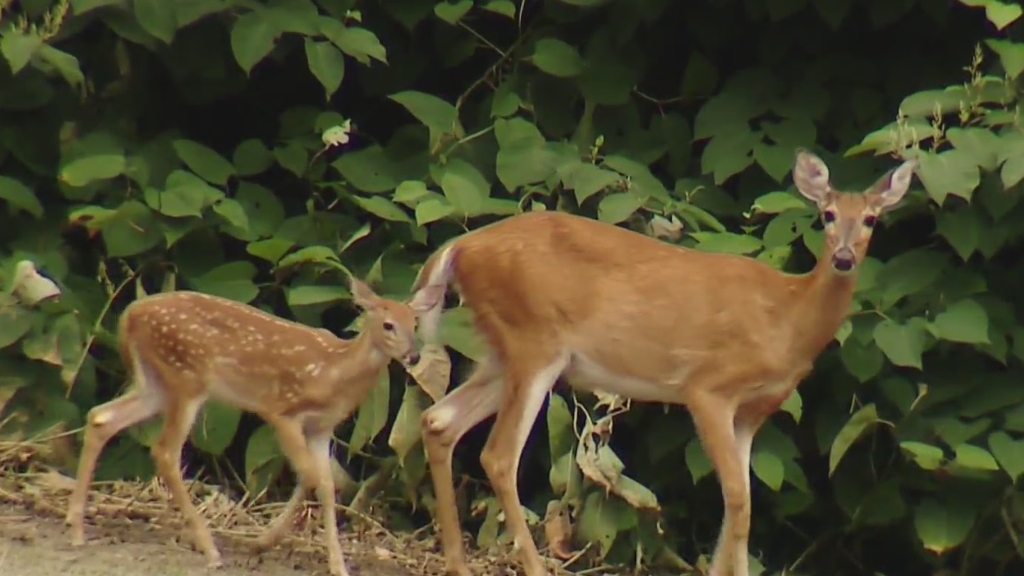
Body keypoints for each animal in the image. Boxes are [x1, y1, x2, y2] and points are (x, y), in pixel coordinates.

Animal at [64, 275, 447, 576]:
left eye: (415, 323)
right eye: (388, 325)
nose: (413, 356)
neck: (334, 373)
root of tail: (129, 314)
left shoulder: (322, 428)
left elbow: (326, 484)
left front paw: (336, 565)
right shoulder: (280, 411)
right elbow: (310, 476)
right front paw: (263, 542)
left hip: (155, 384)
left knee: (101, 417)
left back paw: (77, 527)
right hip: (187, 377)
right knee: (165, 451)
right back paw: (210, 549)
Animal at [407, 149, 917, 576]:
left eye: (870, 218)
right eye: (827, 214)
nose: (845, 258)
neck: (787, 317)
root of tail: (459, 248)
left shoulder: (753, 412)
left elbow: (741, 504)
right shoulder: (707, 387)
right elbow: (738, 500)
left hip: (504, 351)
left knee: (438, 420)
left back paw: (456, 563)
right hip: (534, 342)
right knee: (497, 455)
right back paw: (530, 567)